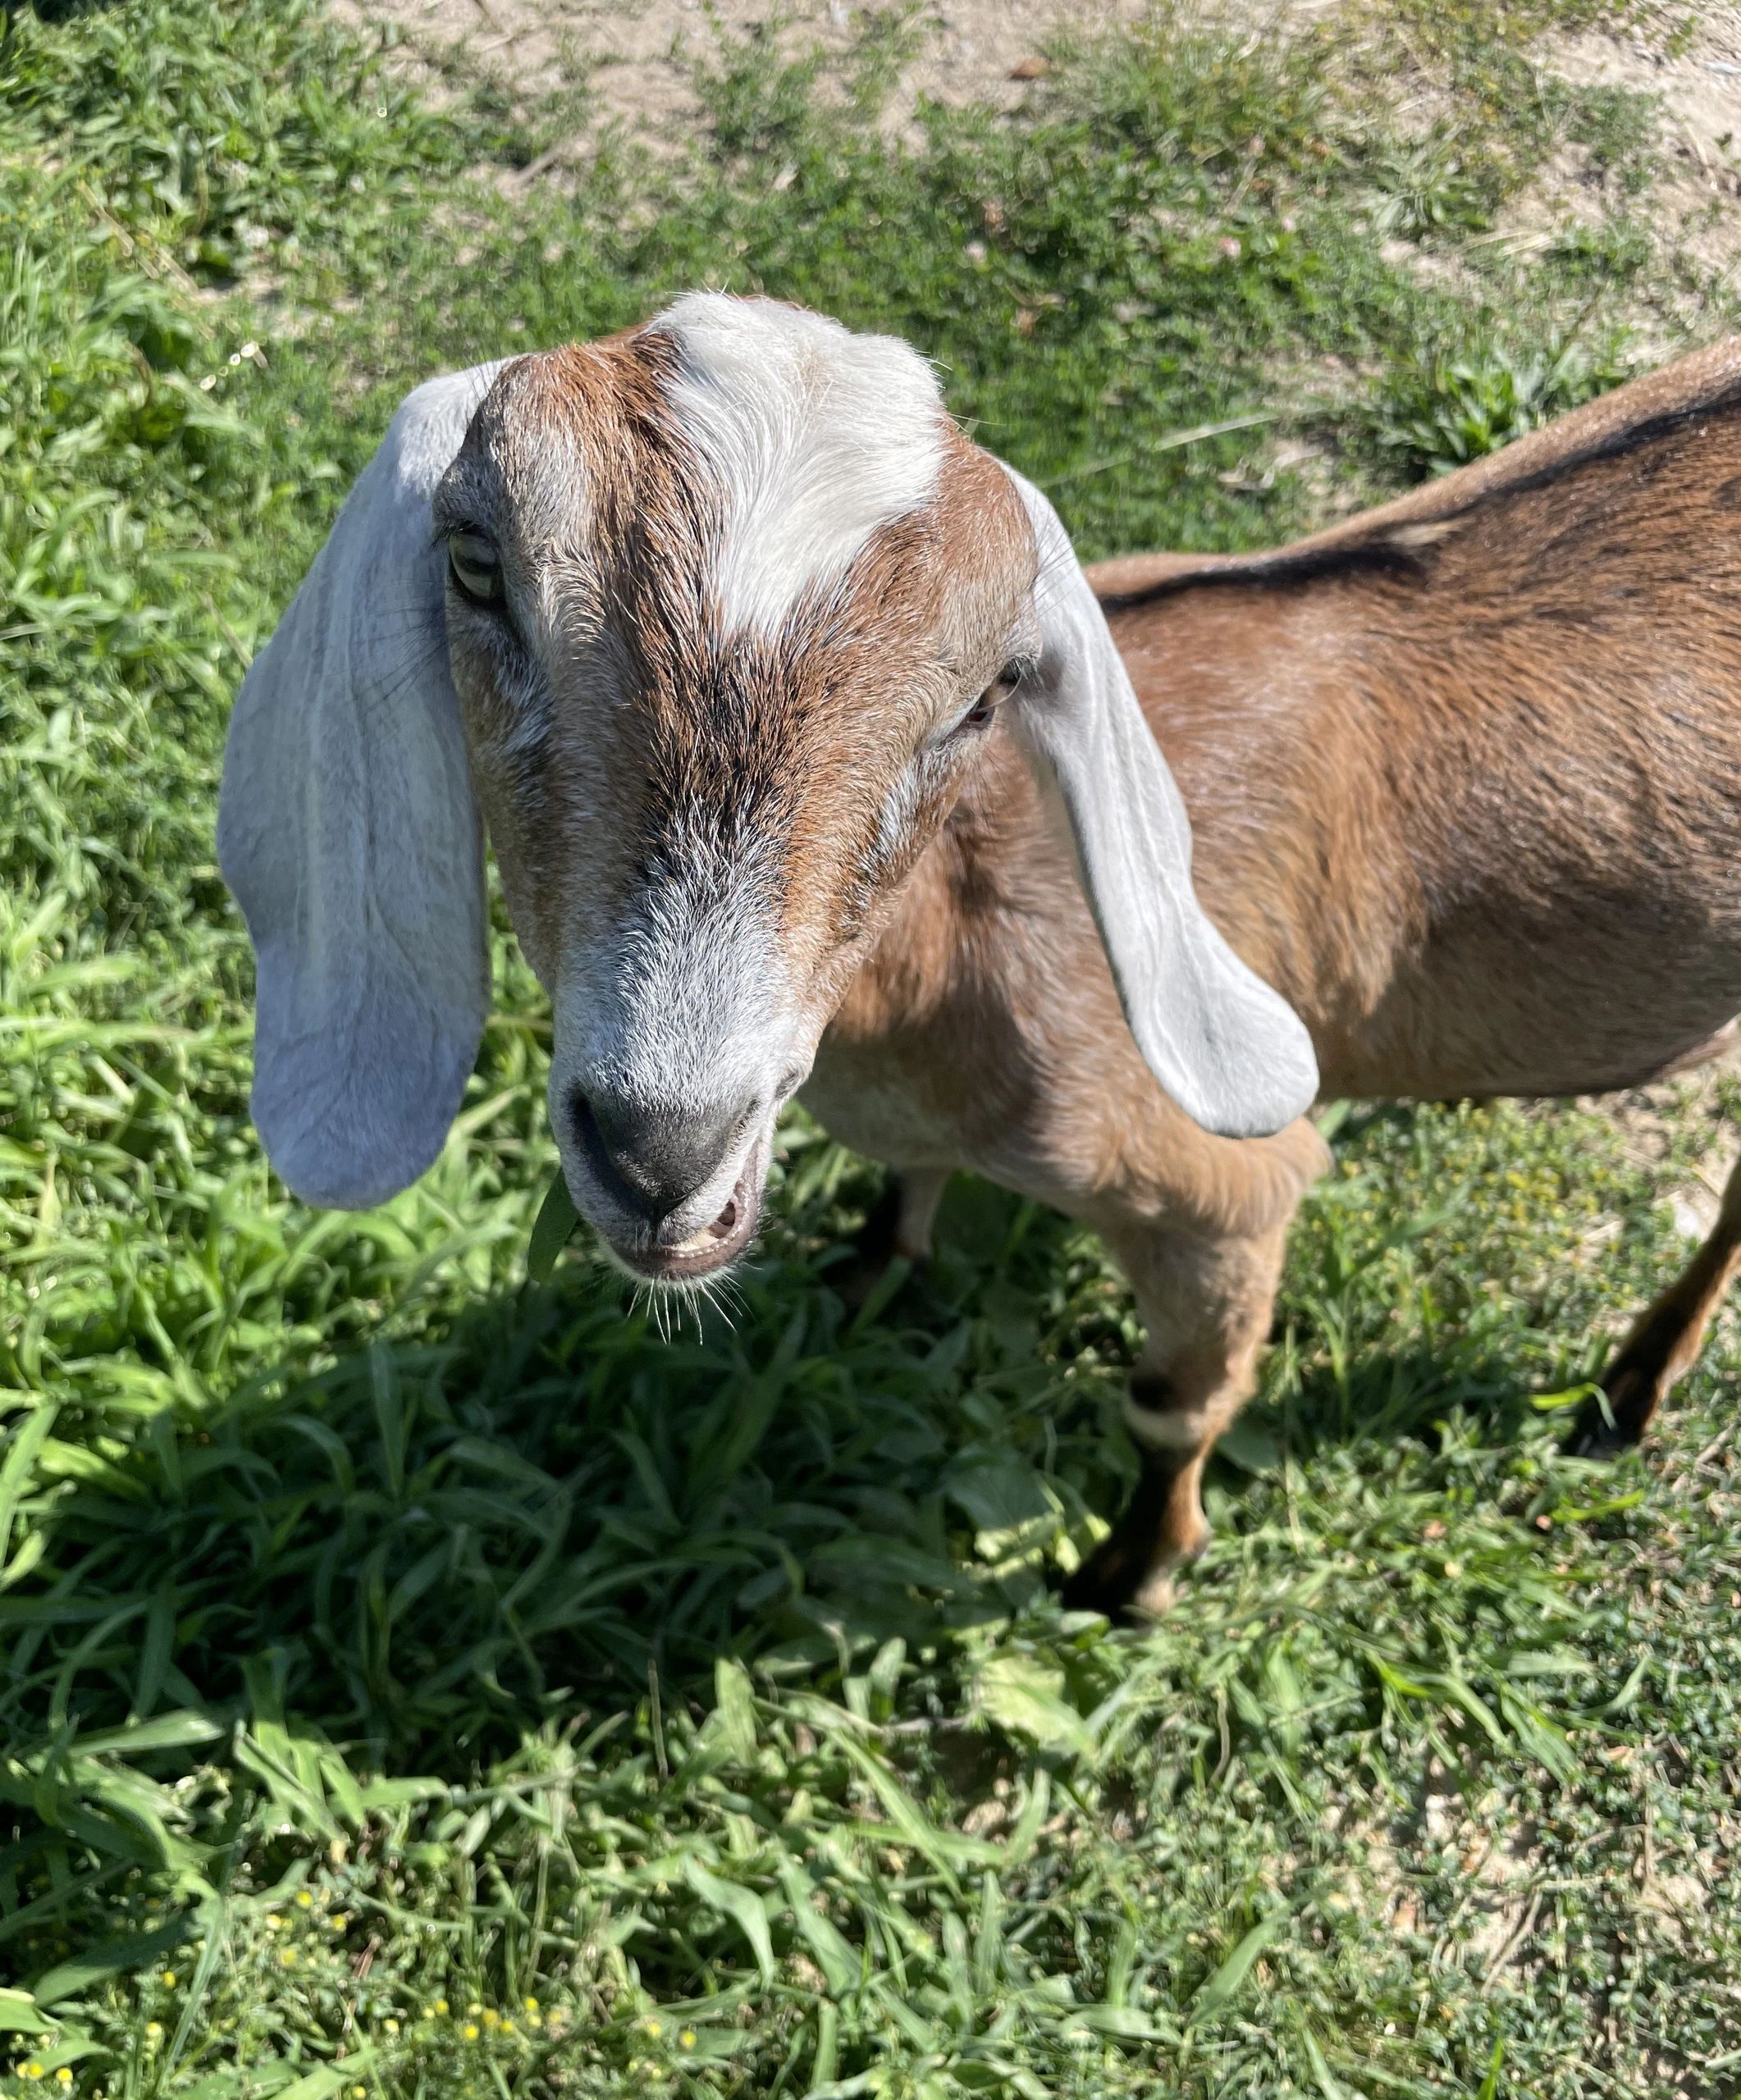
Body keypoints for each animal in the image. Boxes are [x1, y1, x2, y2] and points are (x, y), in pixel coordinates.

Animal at [220, 298, 1741, 1621]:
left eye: (982, 695)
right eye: (477, 569)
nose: (663, 1152)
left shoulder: (1221, 1192)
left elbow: (1175, 1406)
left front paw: (1127, 1579)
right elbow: (903, 1200)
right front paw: (868, 1268)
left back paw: (1630, 1385)